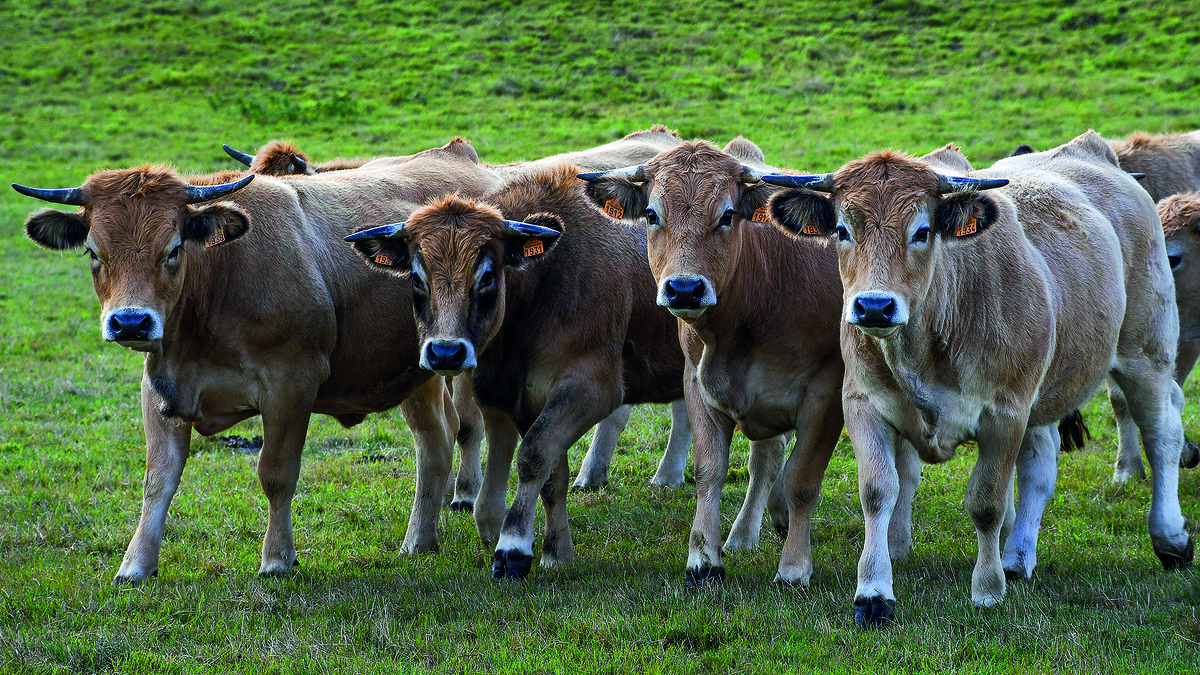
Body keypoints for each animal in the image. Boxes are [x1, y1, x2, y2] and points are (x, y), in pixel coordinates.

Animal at [12, 136, 501, 578]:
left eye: (173, 249)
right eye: (93, 252)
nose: (130, 322)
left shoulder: (291, 383)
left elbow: (276, 472)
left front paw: (277, 559)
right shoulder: (161, 387)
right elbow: (158, 480)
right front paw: (135, 565)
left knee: (456, 435)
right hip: (419, 374)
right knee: (437, 440)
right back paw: (421, 539)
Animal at [343, 165, 700, 576]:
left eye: (486, 276)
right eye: (417, 278)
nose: (446, 352)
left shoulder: (592, 388)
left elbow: (533, 455)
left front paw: (513, 546)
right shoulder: (518, 397)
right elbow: (552, 475)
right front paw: (557, 552)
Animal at [576, 138, 849, 588]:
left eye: (727, 215)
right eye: (652, 214)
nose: (684, 288)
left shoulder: (826, 394)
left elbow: (803, 480)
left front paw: (794, 567)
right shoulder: (699, 384)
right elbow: (710, 469)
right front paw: (704, 559)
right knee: (767, 459)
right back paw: (745, 534)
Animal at [763, 131, 1195, 624]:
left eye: (922, 231)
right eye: (841, 230)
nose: (874, 306)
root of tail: (1093, 152)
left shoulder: (1005, 413)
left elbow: (987, 502)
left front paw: (986, 589)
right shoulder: (863, 404)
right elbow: (878, 491)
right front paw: (873, 591)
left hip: (1146, 351)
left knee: (1162, 432)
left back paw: (1170, 537)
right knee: (1040, 466)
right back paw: (1018, 556)